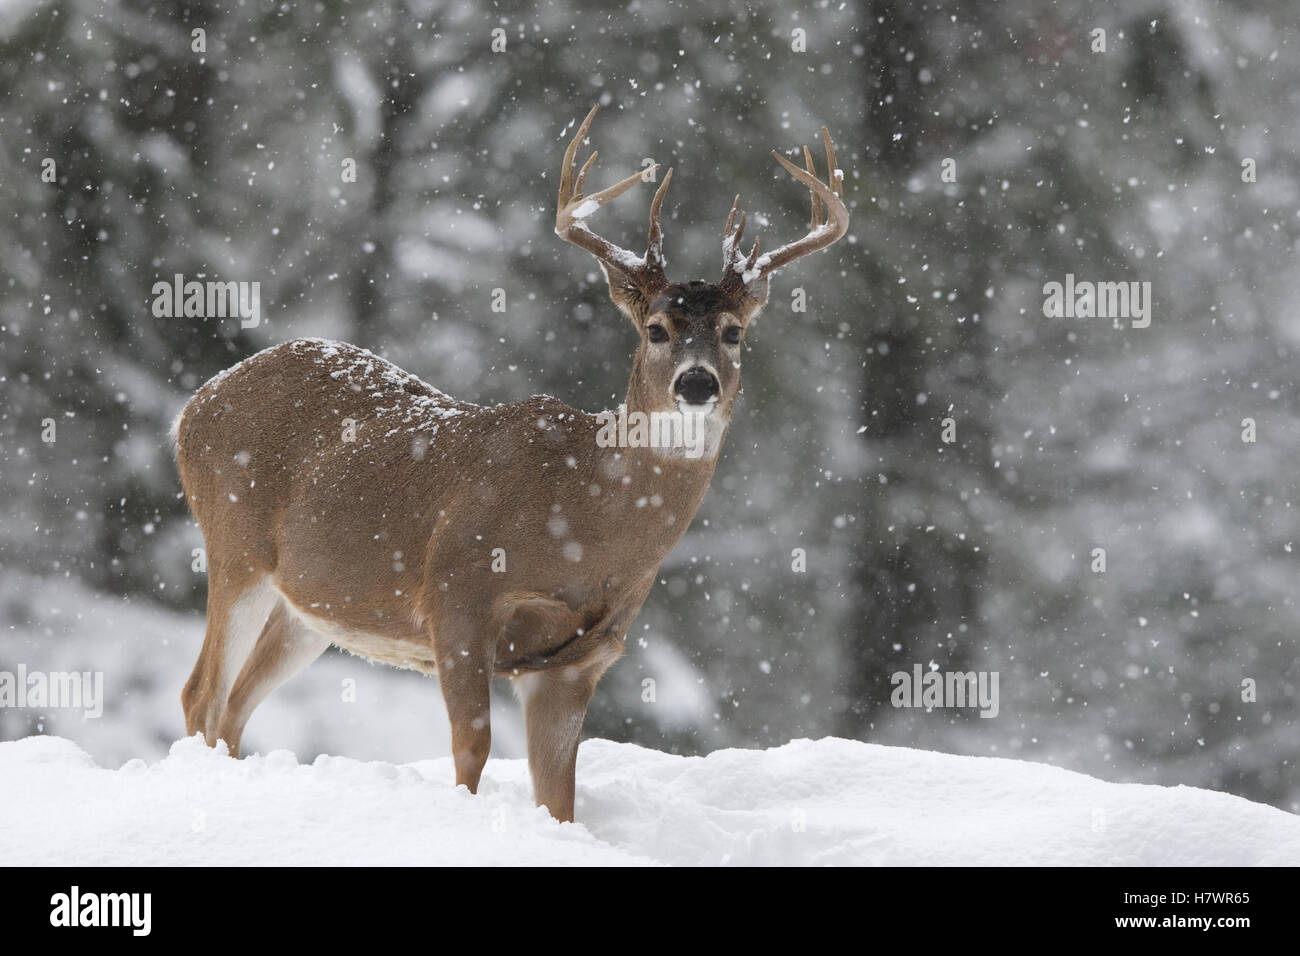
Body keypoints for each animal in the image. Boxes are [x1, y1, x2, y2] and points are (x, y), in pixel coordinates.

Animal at [173, 104, 849, 822]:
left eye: (733, 332)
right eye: (656, 330)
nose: (697, 383)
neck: (581, 521)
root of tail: (193, 404)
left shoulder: (578, 660)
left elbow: (559, 795)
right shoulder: (458, 595)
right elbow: (471, 749)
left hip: (309, 607)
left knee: (236, 704)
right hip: (234, 546)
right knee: (201, 692)